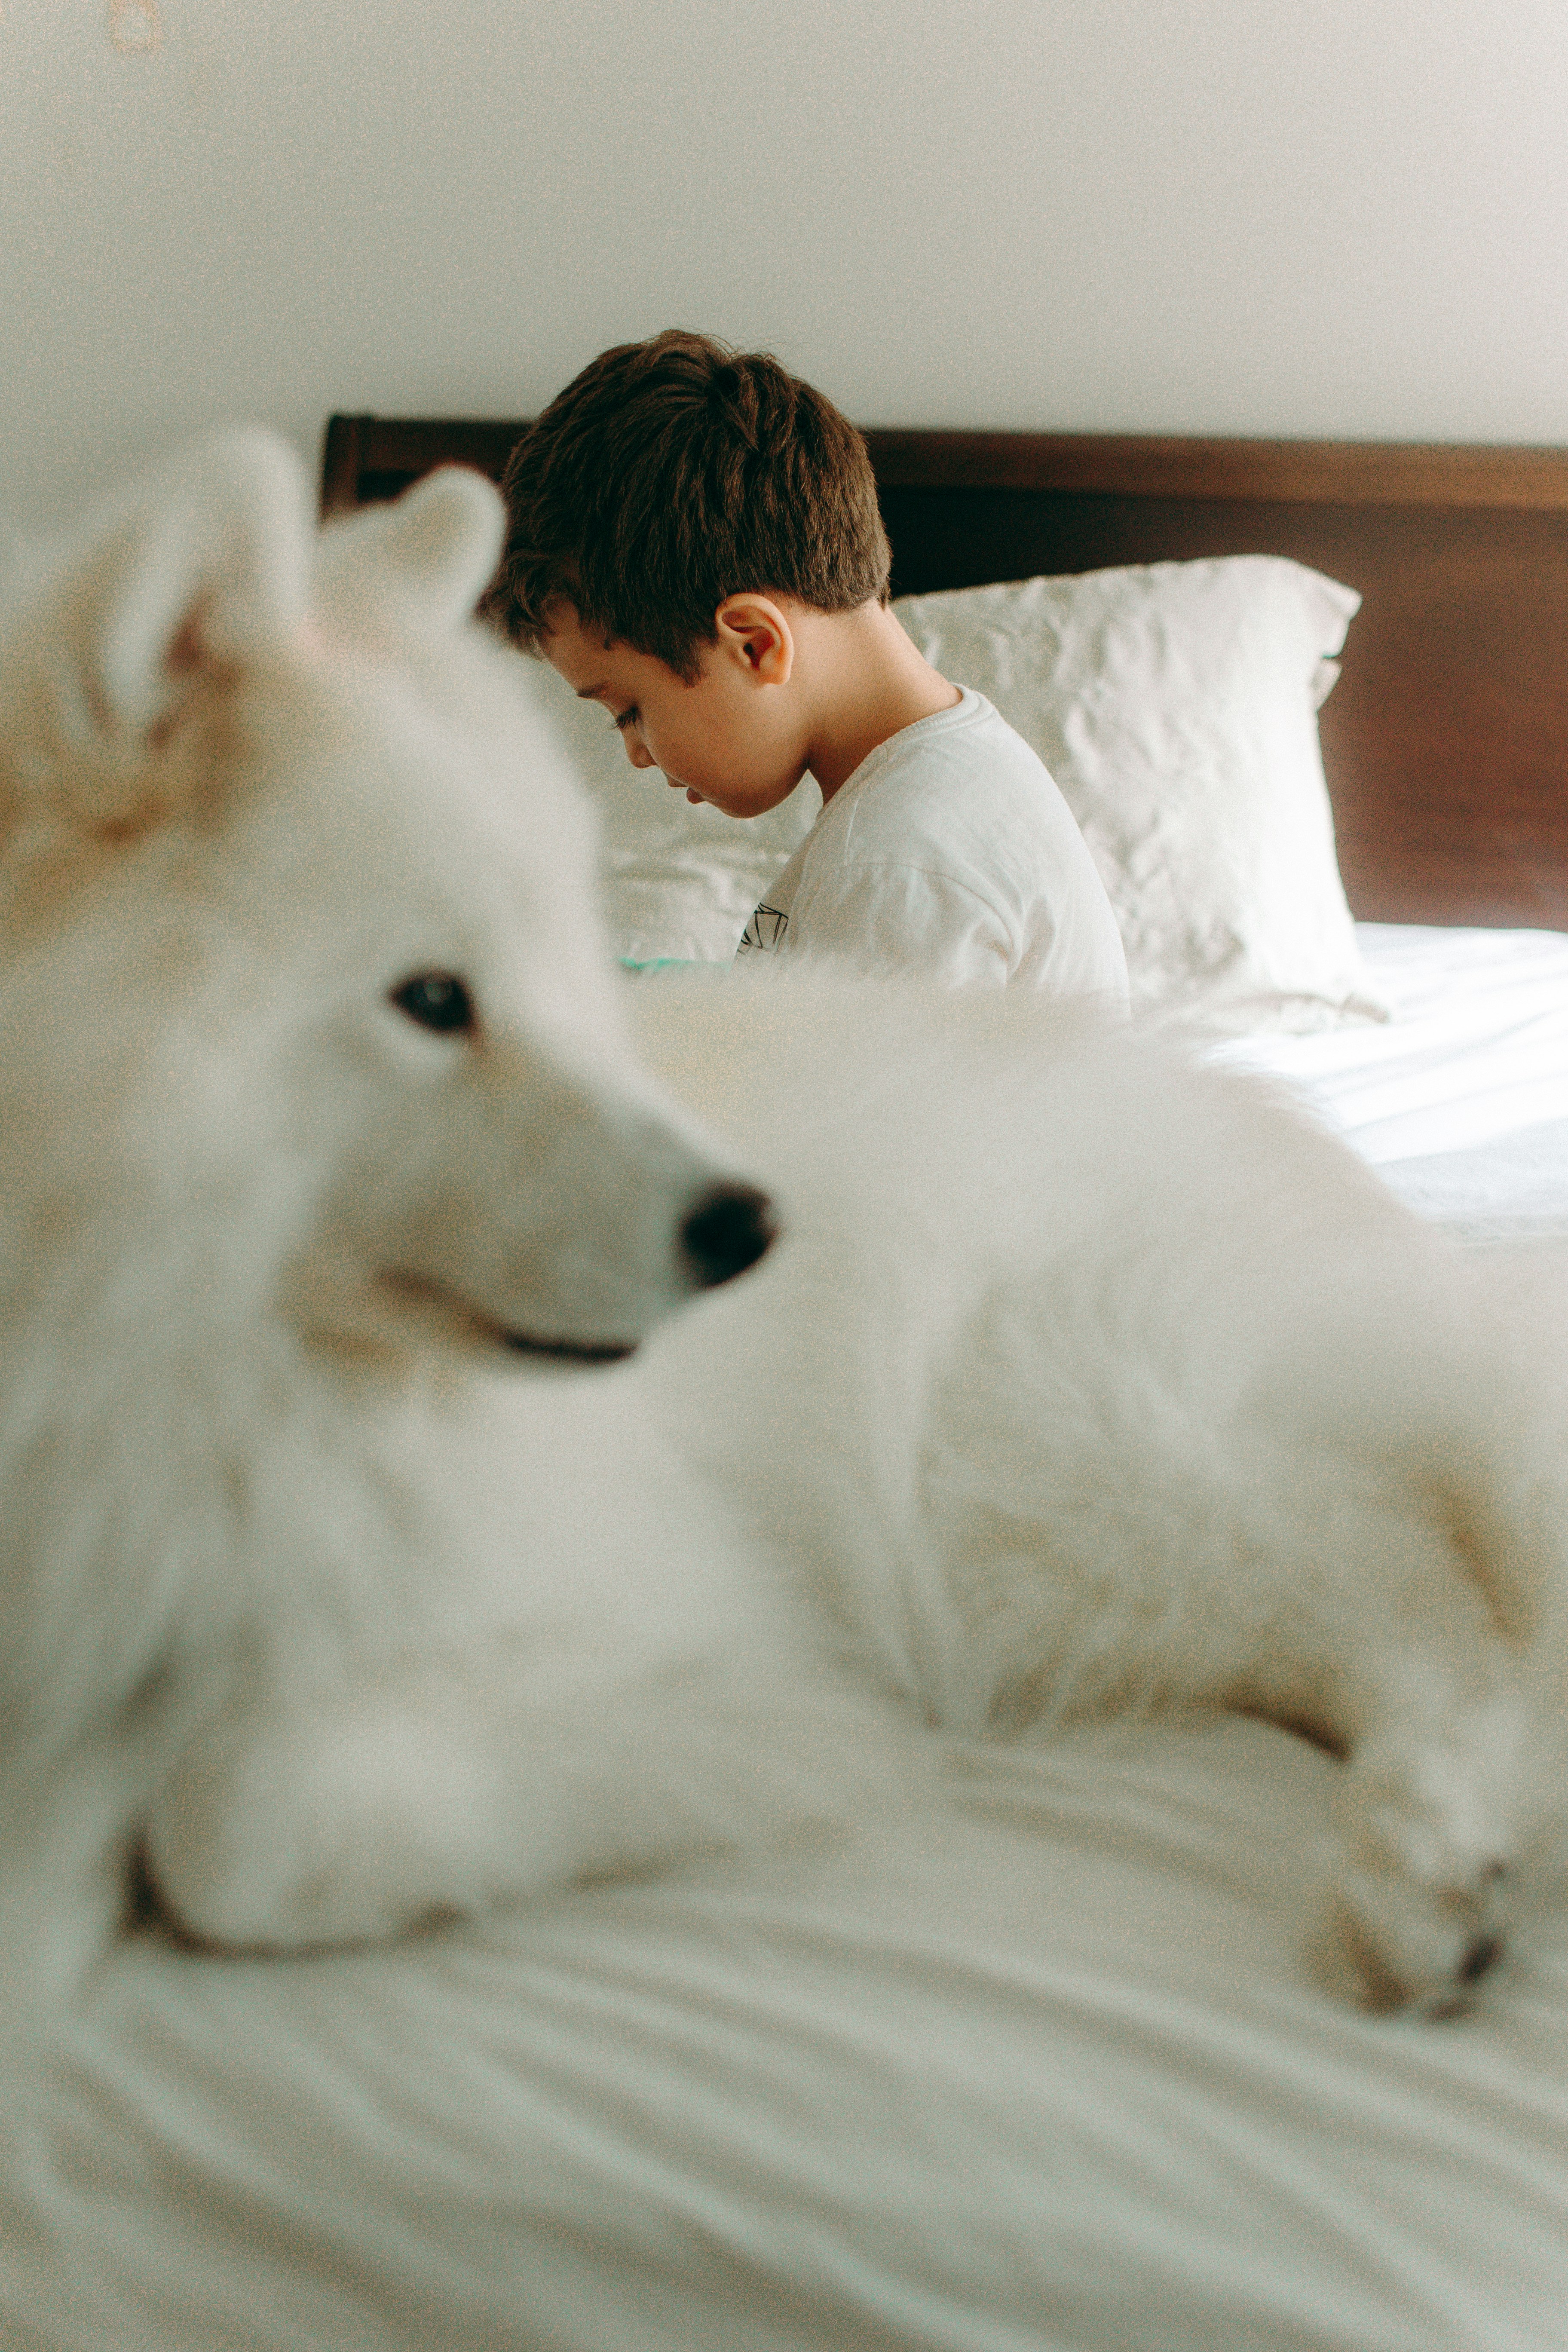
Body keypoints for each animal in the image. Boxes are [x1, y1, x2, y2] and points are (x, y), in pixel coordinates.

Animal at [1, 432, 1563, 2018]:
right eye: (433, 1000)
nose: (750, 1229)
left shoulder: (665, 1592)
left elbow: (234, 1816)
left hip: (1039, 1468)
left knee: (1422, 1590)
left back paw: (1425, 1857)